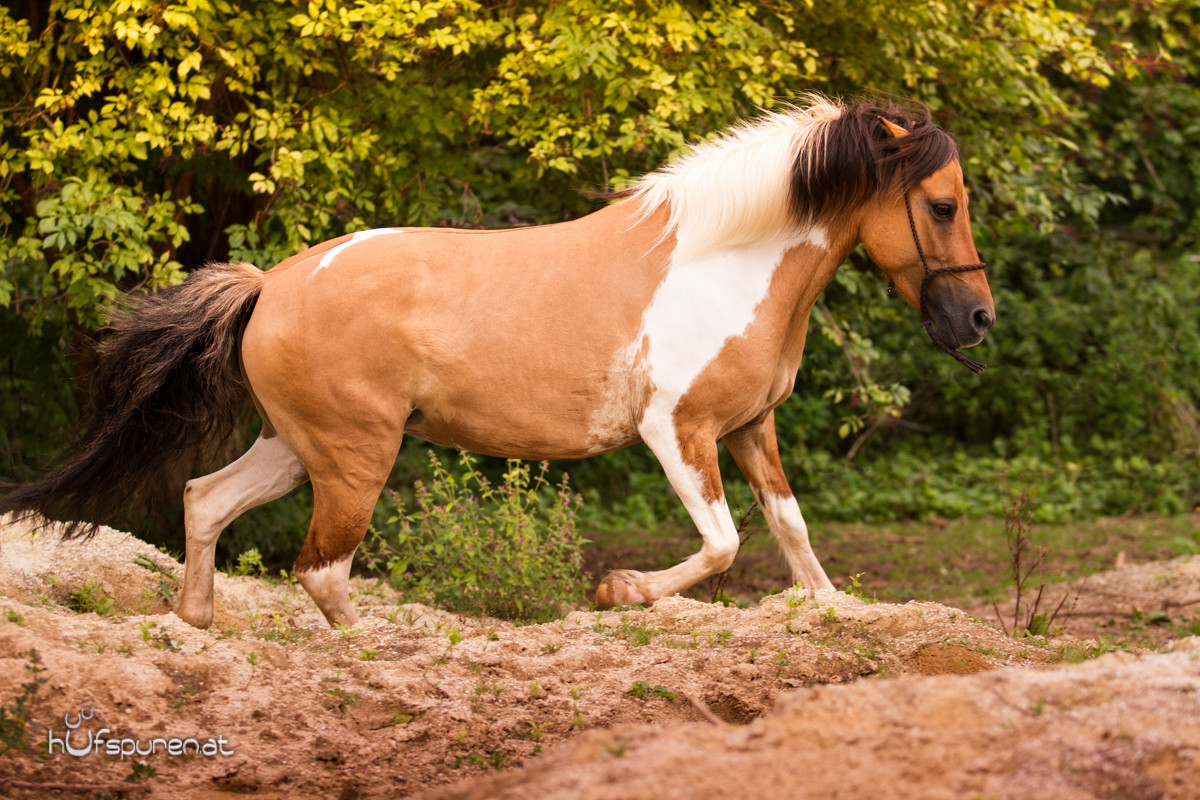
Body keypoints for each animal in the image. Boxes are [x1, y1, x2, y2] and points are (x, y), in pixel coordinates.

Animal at [0, 95, 994, 628]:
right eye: (943, 205)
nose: (977, 321)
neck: (725, 261)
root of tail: (270, 284)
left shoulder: (751, 428)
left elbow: (793, 536)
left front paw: (835, 614)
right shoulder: (678, 431)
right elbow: (722, 544)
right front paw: (619, 590)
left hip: (296, 447)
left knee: (205, 501)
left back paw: (196, 625)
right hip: (354, 459)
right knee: (321, 570)